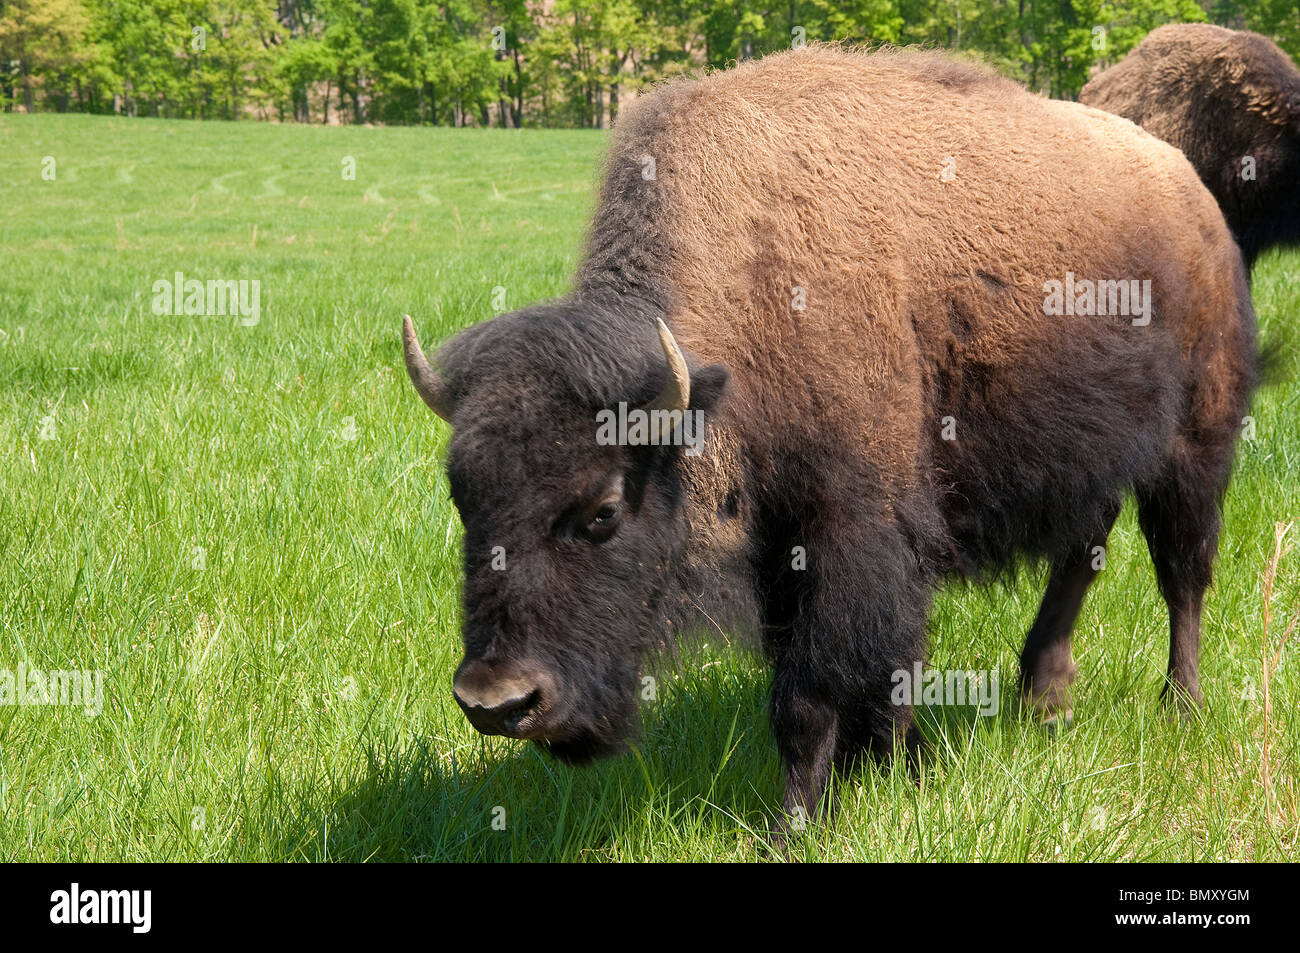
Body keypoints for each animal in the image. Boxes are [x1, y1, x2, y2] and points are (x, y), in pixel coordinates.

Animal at [403, 46, 1258, 822]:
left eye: (604, 509)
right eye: (463, 499)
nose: (496, 699)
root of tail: (1191, 194)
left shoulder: (848, 532)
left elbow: (812, 692)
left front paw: (797, 823)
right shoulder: (795, 545)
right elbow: (871, 669)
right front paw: (897, 770)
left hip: (1197, 440)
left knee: (1182, 571)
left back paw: (1180, 705)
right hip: (1094, 460)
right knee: (1084, 550)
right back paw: (1043, 695)